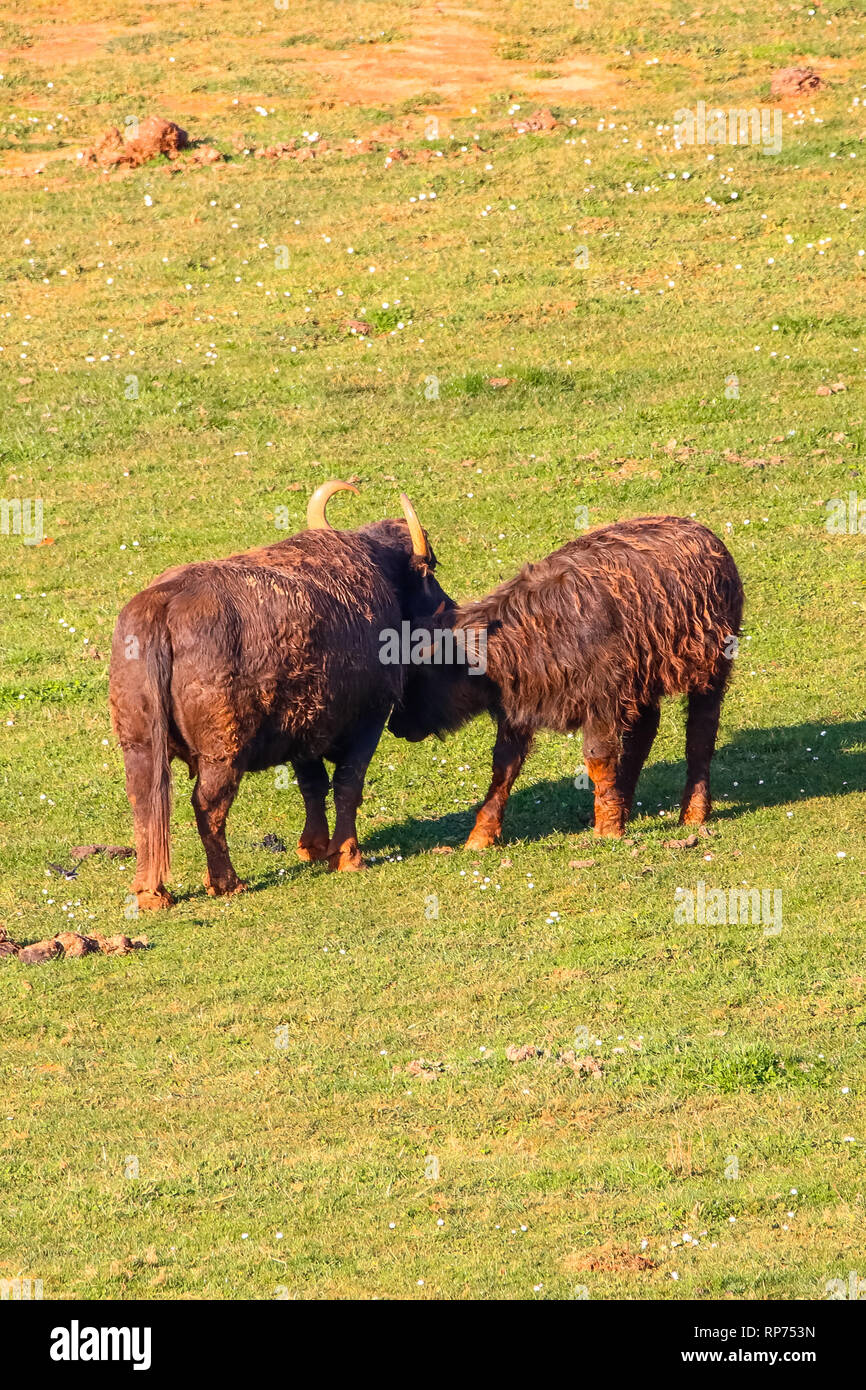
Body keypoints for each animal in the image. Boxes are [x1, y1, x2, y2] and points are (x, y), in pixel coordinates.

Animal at [110, 482, 452, 909]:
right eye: (431, 569)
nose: (450, 609)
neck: (383, 581)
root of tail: (163, 605)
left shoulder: (303, 734)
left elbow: (313, 785)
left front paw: (314, 847)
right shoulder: (368, 722)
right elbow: (347, 785)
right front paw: (347, 855)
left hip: (139, 747)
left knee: (146, 806)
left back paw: (152, 893)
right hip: (222, 757)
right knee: (208, 806)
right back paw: (227, 883)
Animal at [389, 516, 743, 846]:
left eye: (420, 675)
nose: (394, 725)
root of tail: (709, 539)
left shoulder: (603, 703)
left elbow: (598, 759)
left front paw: (607, 830)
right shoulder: (517, 712)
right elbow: (503, 769)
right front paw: (479, 838)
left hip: (710, 675)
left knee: (700, 736)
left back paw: (692, 814)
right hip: (645, 686)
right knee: (643, 735)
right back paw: (625, 807)